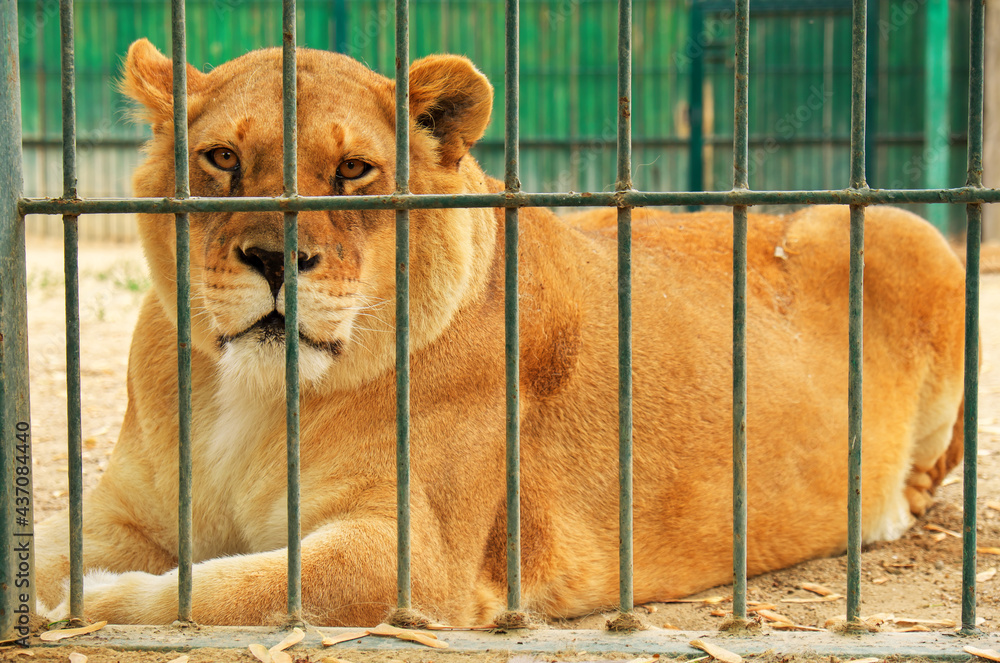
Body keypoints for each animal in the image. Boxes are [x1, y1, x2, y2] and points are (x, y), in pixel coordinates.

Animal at [34, 39, 967, 627]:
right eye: (223, 158)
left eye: (354, 169)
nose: (273, 257)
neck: (250, 392)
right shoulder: (130, 507)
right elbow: (45, 545)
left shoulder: (409, 554)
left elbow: (219, 589)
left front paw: (87, 601)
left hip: (907, 231)